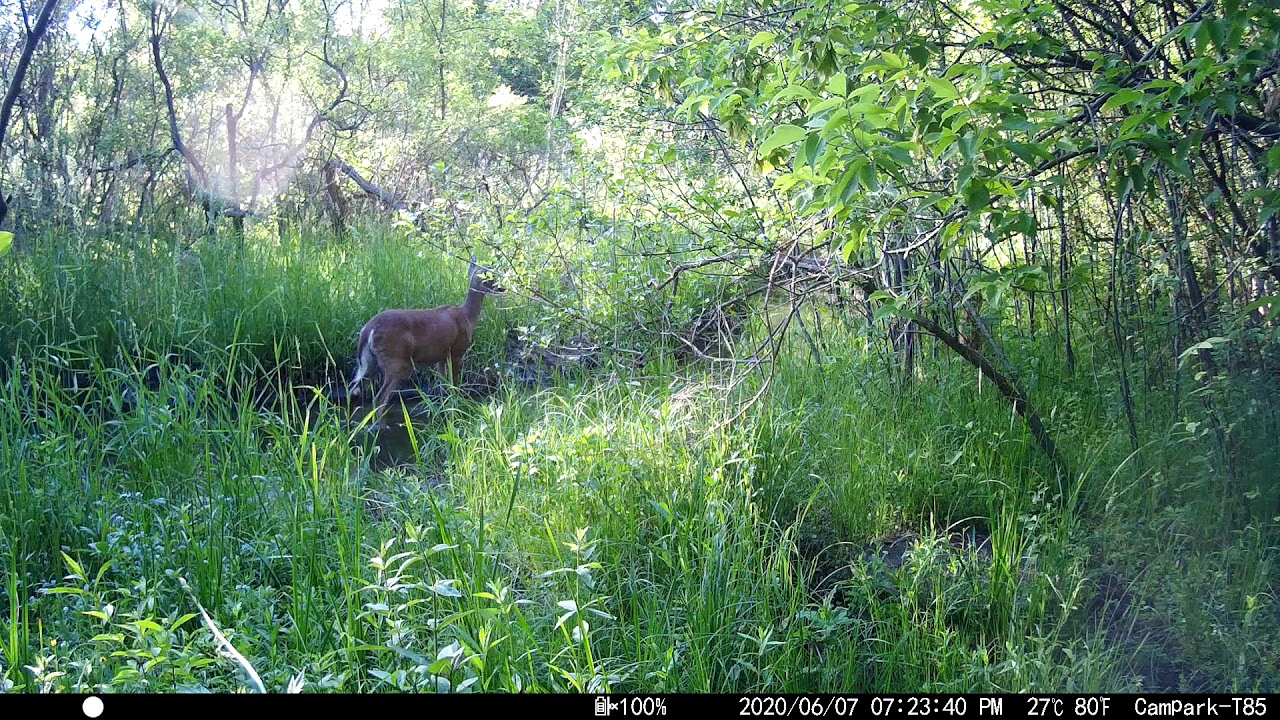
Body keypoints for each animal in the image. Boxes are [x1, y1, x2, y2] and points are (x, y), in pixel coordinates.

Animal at [348, 255, 502, 426]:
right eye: (491, 277)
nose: (502, 289)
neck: (467, 316)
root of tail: (368, 329)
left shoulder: (440, 357)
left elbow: (443, 388)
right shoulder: (456, 352)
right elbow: (454, 386)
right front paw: (457, 409)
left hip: (368, 364)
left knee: (352, 391)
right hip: (395, 361)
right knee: (379, 399)